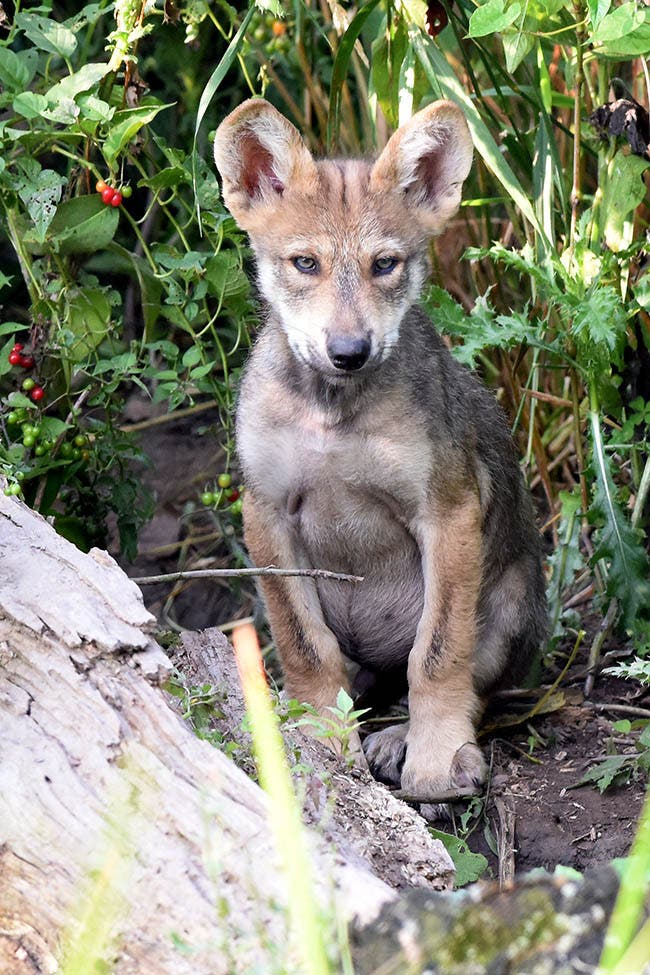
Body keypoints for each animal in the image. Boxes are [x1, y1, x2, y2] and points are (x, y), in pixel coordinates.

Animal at [213, 98, 547, 798]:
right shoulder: (266, 512)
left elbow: (438, 654)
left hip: (512, 598)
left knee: (462, 683)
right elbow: (304, 645)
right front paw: (317, 740)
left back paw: (400, 738)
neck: (333, 415)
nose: (349, 352)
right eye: (305, 263)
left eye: (385, 265)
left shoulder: (446, 512)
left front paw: (435, 757)